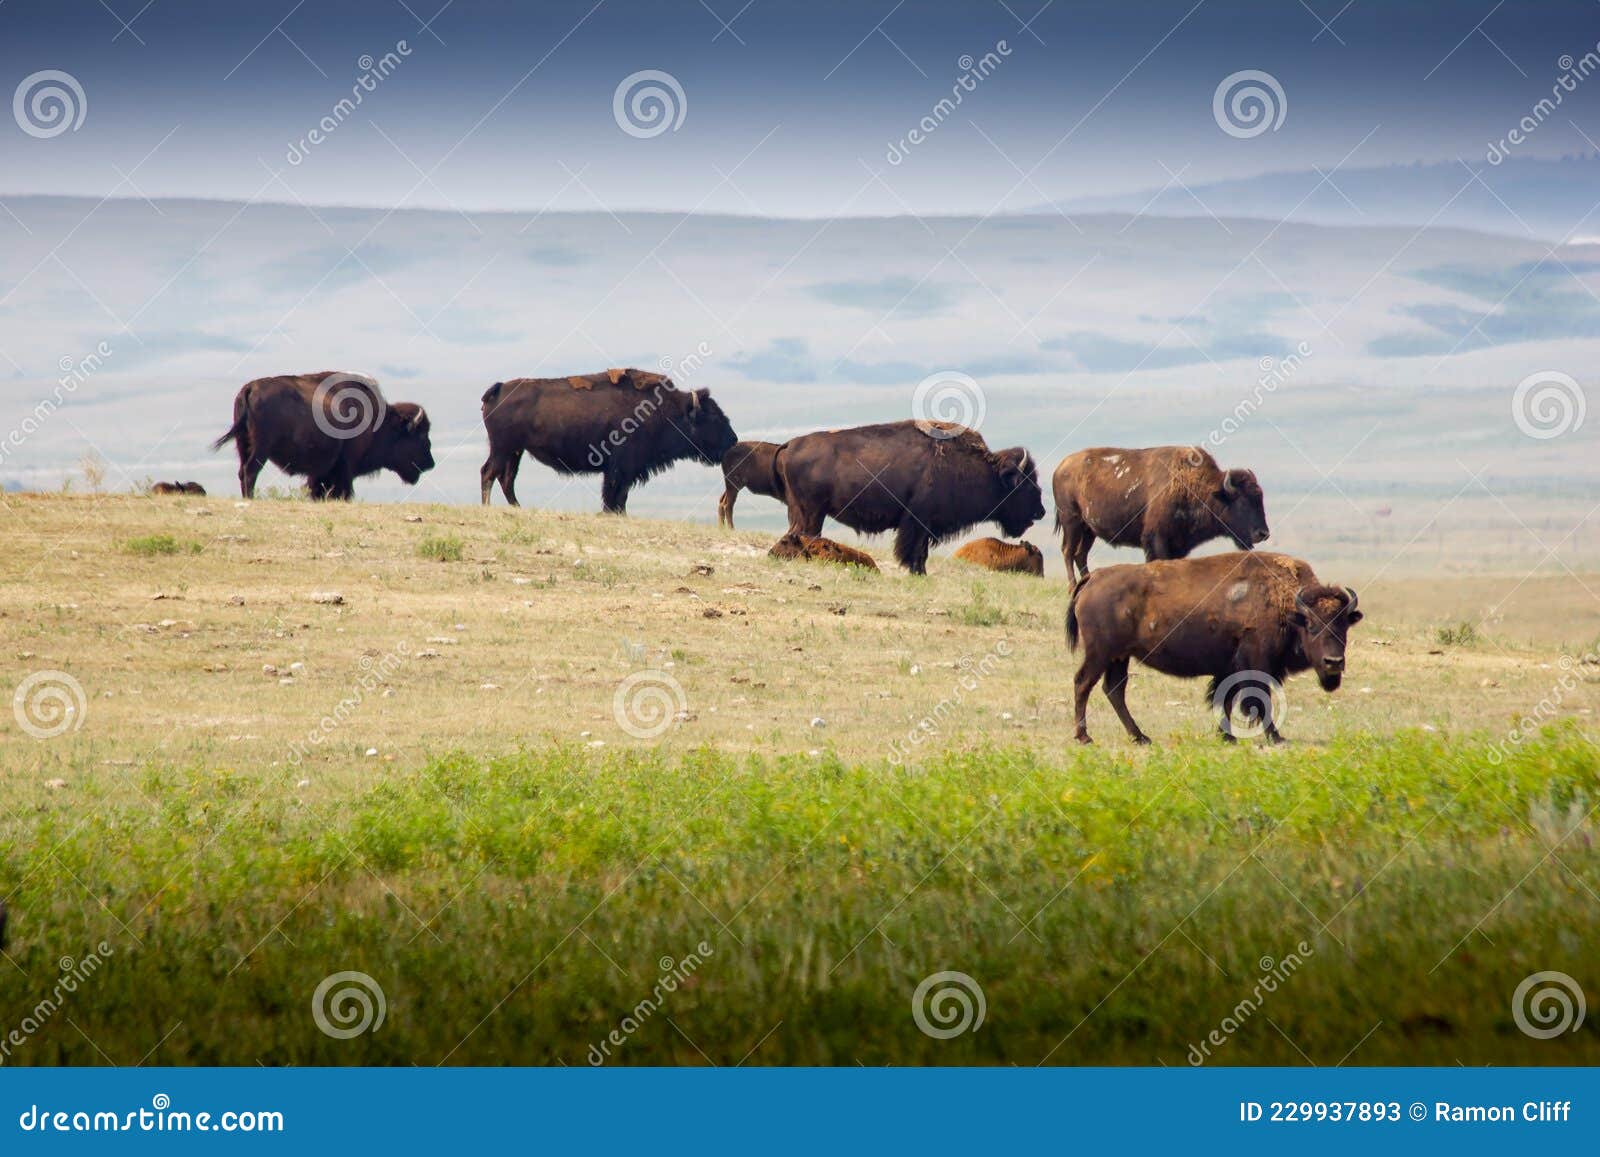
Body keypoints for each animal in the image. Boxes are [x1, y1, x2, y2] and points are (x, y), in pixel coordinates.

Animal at [212, 372, 433, 500]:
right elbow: (342, 487)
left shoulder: (321, 468)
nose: (430, 463)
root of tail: (250, 388)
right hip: (261, 448)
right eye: (421, 436)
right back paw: (250, 499)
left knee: (242, 471)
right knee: (250, 471)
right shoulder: (345, 464)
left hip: (243, 444)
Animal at [480, 368, 737, 513]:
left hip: (515, 451)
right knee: (489, 473)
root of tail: (499, 389)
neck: (668, 411)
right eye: (713, 416)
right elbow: (615, 496)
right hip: (503, 449)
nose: (733, 440)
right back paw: (488, 507)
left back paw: (517, 507)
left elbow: (620, 497)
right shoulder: (620, 469)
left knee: (506, 478)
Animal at [775, 420, 1045, 574]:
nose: (1041, 511)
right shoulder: (917, 523)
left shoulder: (925, 526)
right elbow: (914, 551)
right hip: (811, 512)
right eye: (1026, 483)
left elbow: (920, 552)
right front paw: (916, 572)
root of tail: (790, 444)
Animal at [1053, 445, 1269, 593]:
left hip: (1089, 530)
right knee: (1068, 551)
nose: (1263, 533)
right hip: (1071, 521)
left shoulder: (1179, 545)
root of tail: (1060, 466)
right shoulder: (1157, 539)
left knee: (1080, 554)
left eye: (1260, 498)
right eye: (1243, 502)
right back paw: (1072, 588)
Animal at [1065, 552, 1362, 745]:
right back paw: (1084, 737)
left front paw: (1227, 736)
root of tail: (1094, 578)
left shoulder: (1229, 668)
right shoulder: (1257, 663)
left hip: (1119, 657)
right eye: (1311, 625)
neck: (1287, 606)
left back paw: (1140, 736)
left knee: (1114, 689)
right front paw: (1276, 736)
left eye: (1343, 624)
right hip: (1100, 654)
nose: (1333, 662)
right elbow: (1258, 699)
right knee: (1083, 683)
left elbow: (1227, 699)